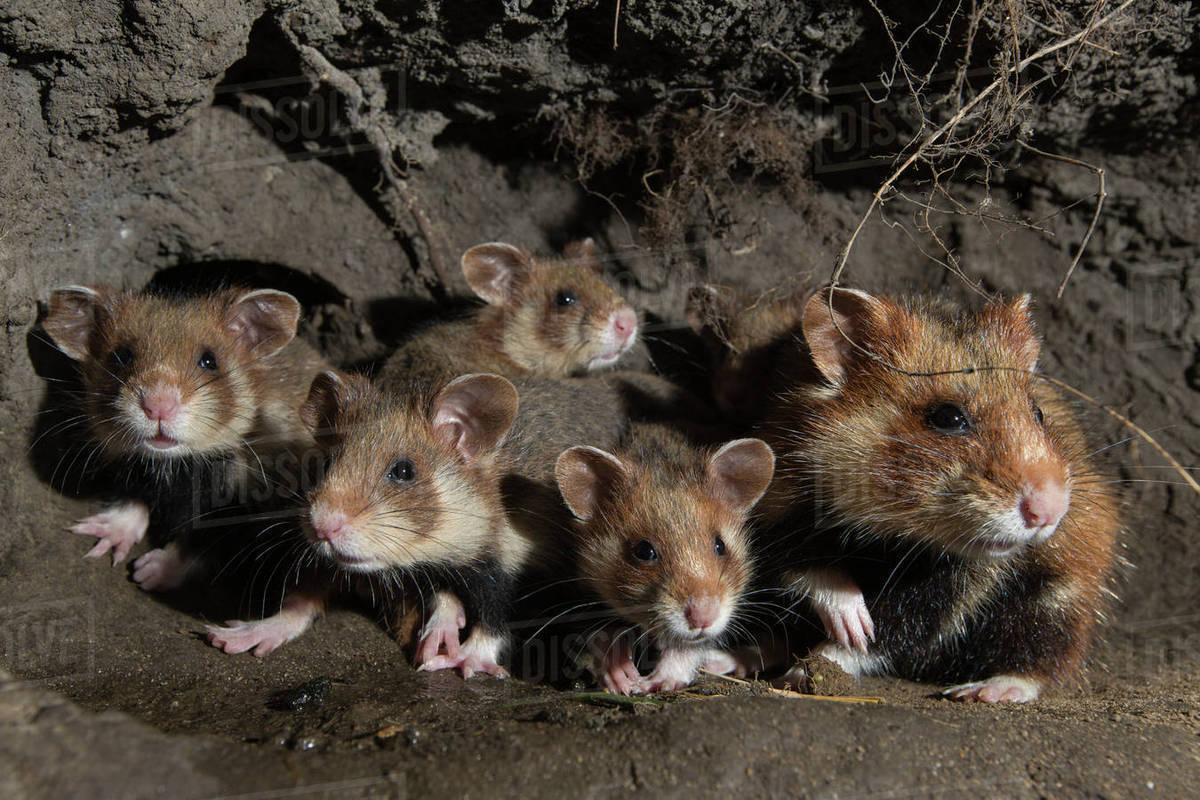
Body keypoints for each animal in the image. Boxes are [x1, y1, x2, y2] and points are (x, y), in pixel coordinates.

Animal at [40, 284, 328, 591]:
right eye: (122, 356)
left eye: (209, 361)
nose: (158, 406)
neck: (176, 466)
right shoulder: (138, 469)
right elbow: (132, 497)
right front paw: (103, 538)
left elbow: (199, 542)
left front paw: (147, 573)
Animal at [555, 424, 775, 694]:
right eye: (643, 551)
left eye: (720, 545)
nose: (704, 618)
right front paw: (620, 674)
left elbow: (686, 648)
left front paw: (654, 682)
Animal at [757, 286, 1121, 703]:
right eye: (948, 417)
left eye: (1038, 414)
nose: (1051, 512)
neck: (891, 529)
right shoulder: (780, 508)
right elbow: (811, 572)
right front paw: (851, 621)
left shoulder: (952, 590)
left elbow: (890, 635)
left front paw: (810, 667)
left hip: (1061, 596)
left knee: (1048, 653)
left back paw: (984, 690)